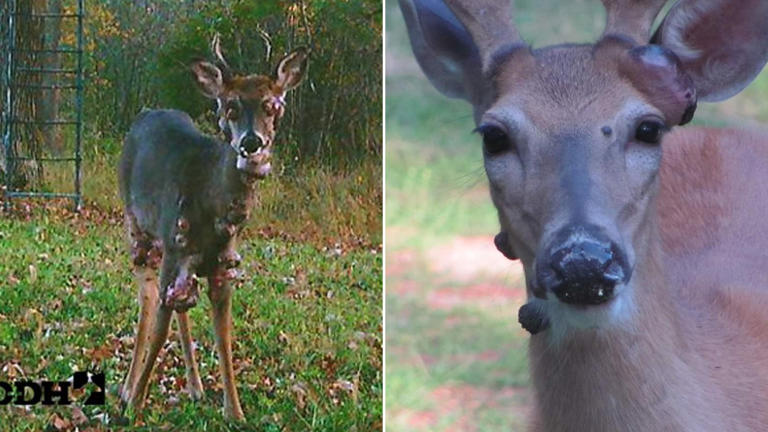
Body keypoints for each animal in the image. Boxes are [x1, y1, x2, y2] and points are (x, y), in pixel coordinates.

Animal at [117, 35, 307, 420]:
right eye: (230, 106)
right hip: (139, 228)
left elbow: (223, 336)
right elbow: (159, 329)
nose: (251, 142)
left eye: (272, 106)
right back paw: (128, 389)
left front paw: (234, 412)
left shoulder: (223, 264)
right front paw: (136, 404)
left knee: (180, 307)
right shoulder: (174, 242)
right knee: (147, 298)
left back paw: (195, 387)